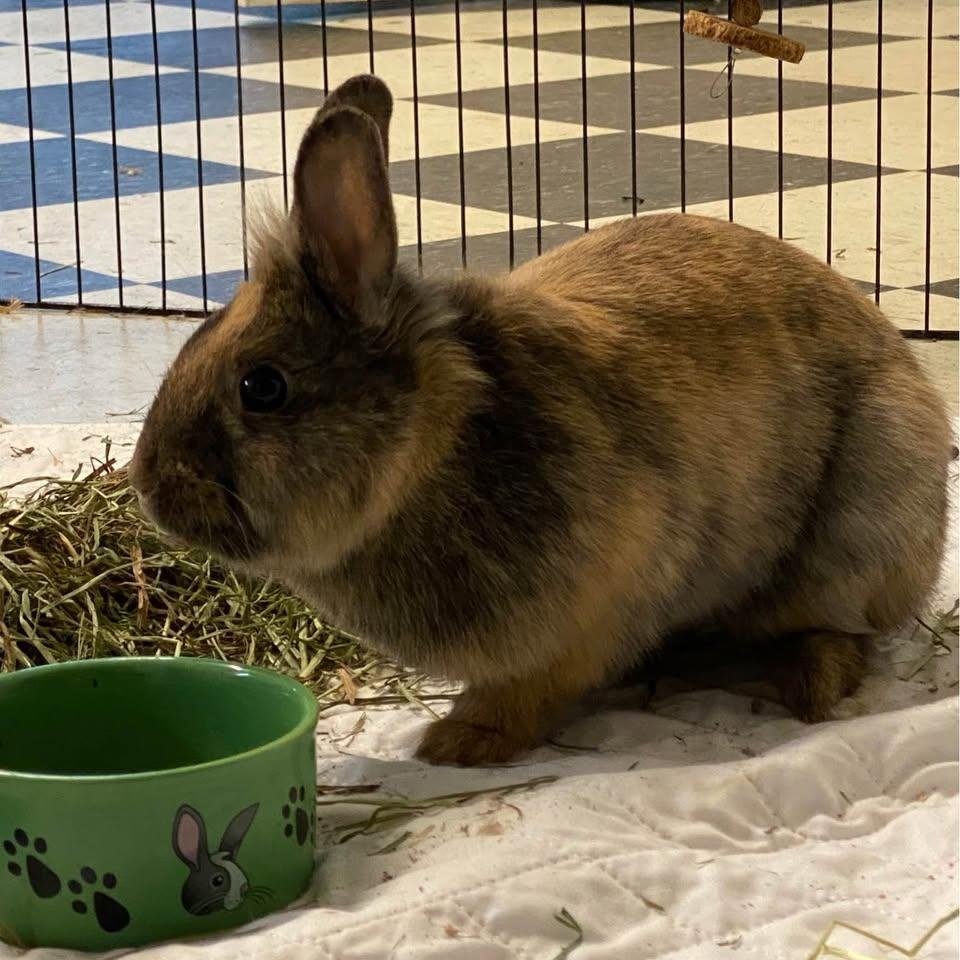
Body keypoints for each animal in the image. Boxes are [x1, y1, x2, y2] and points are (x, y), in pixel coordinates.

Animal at [128, 74, 952, 767]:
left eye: (261, 386)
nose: (149, 487)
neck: (434, 449)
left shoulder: (590, 613)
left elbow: (527, 691)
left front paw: (458, 743)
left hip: (861, 517)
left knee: (847, 628)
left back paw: (807, 684)